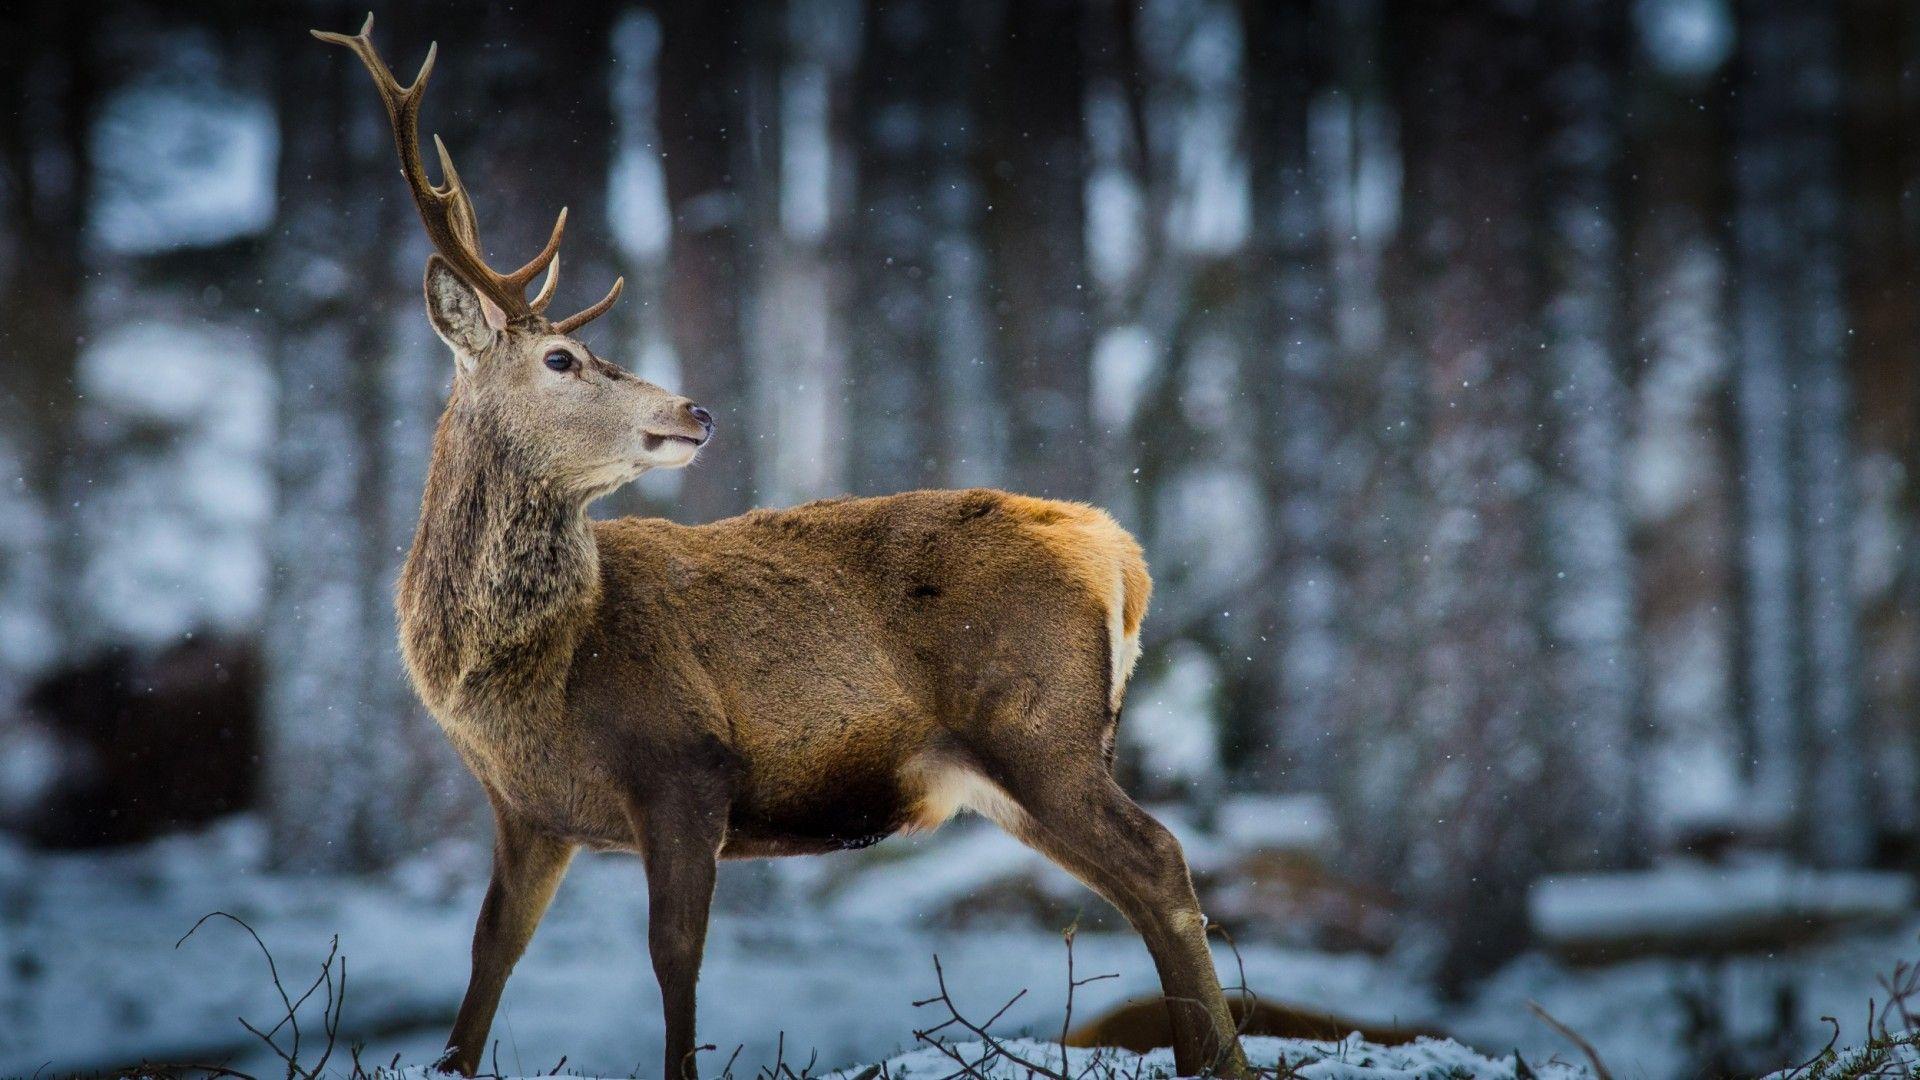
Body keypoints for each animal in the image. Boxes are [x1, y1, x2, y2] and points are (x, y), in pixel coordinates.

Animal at [313, 16, 1250, 1080]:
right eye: (561, 358)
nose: (696, 411)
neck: (528, 672)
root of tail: (1118, 552)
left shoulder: (684, 762)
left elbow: (674, 957)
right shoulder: (528, 810)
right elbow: (488, 960)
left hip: (1037, 724)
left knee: (1159, 859)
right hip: (1017, 764)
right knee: (1136, 883)